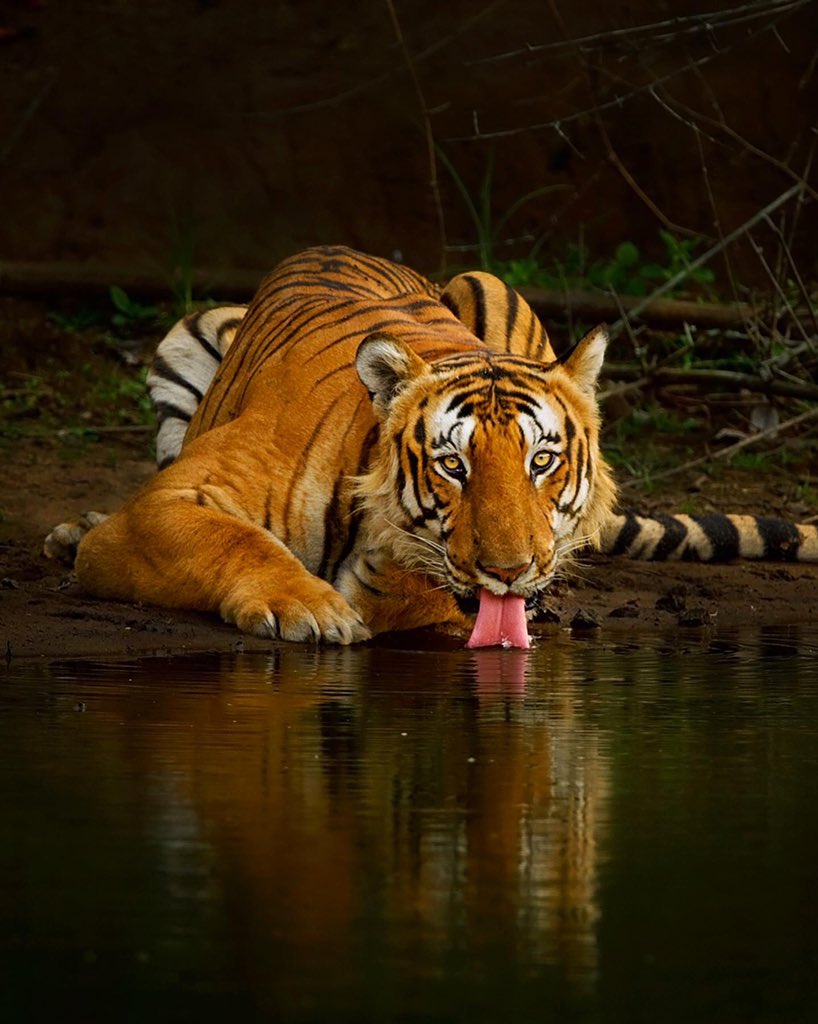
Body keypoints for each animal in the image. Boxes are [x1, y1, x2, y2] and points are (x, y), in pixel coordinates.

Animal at [44, 245, 818, 647]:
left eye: (542, 461)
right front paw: (312, 609)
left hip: (491, 283)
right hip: (187, 336)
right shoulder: (166, 502)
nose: (508, 571)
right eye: (453, 465)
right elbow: (231, 540)